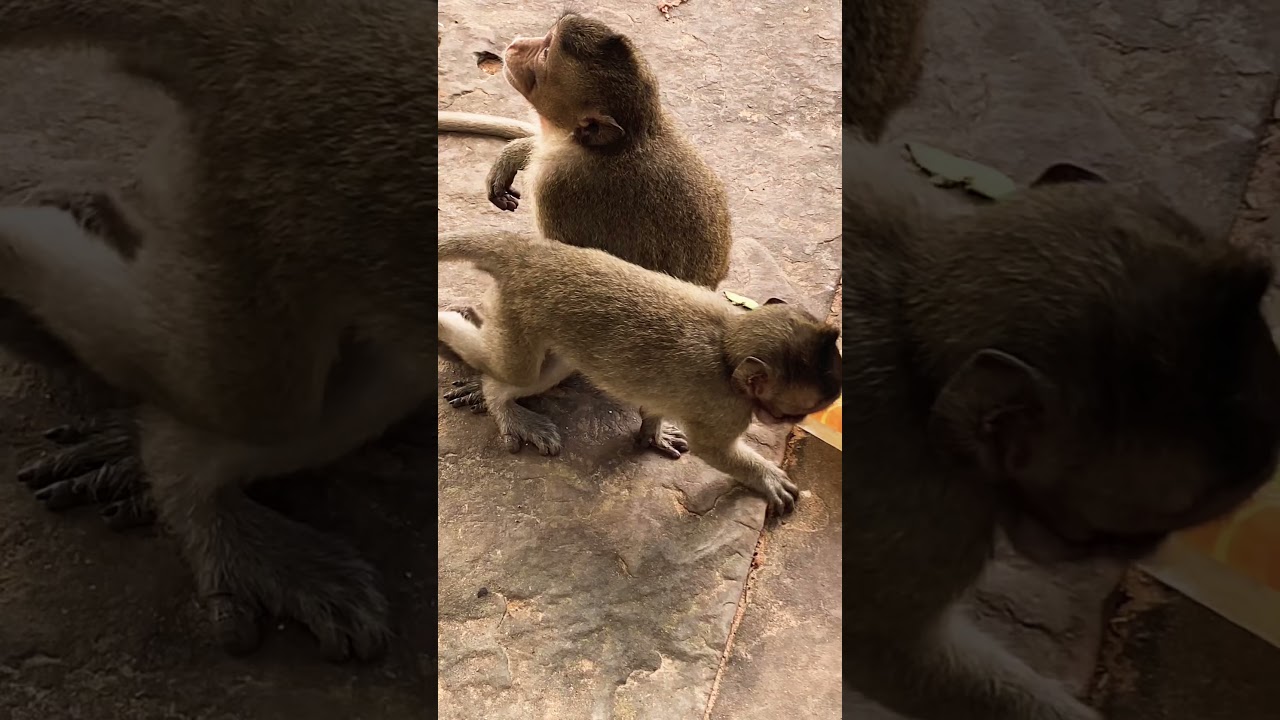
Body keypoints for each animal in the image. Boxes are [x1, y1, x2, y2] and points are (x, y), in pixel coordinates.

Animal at [436, 228, 841, 515]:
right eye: (792, 414)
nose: (782, 423)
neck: (729, 343)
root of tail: (530, 252)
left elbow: (657, 401)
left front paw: (653, 432)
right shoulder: (725, 409)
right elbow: (712, 449)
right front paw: (765, 477)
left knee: (551, 366)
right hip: (518, 308)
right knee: (514, 370)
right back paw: (468, 355)